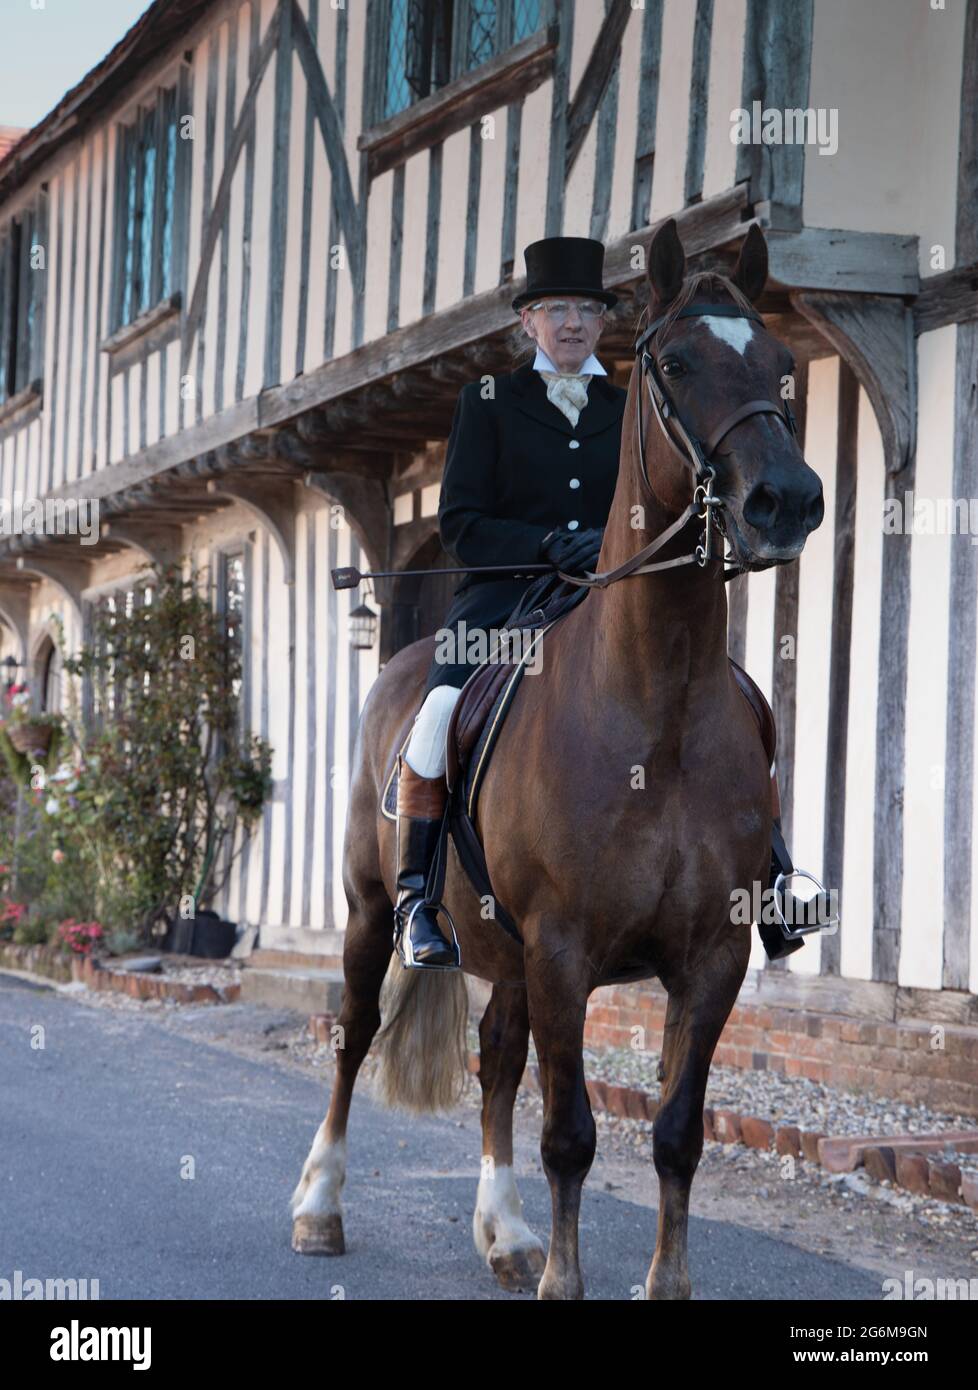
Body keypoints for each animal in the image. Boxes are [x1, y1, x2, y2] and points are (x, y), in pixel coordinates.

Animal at [289, 218, 825, 1300]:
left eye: (784, 368)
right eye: (675, 362)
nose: (785, 502)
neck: (657, 707)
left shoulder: (712, 959)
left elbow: (675, 1134)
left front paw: (661, 1282)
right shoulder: (565, 949)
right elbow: (572, 1134)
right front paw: (566, 1283)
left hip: (506, 952)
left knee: (496, 1060)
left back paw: (504, 1232)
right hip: (376, 913)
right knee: (355, 1035)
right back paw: (320, 1207)